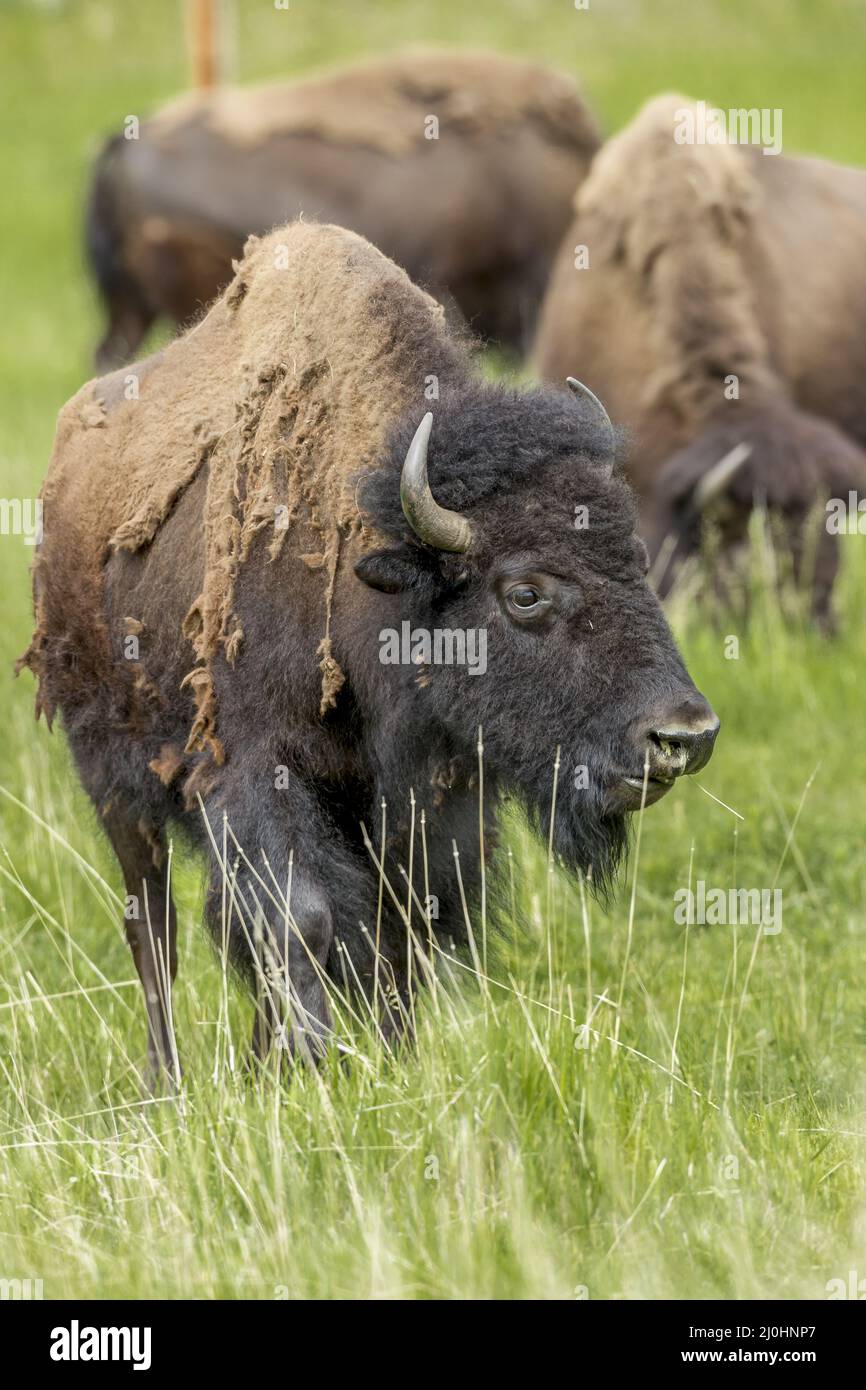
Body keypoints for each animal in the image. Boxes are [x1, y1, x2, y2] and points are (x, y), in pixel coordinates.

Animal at [21, 222, 719, 1081]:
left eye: (636, 559)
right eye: (524, 592)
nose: (684, 735)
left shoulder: (430, 801)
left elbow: (404, 931)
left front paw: (387, 1059)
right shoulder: (252, 772)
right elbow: (302, 920)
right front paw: (306, 1066)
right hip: (113, 782)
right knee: (153, 924)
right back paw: (168, 1081)